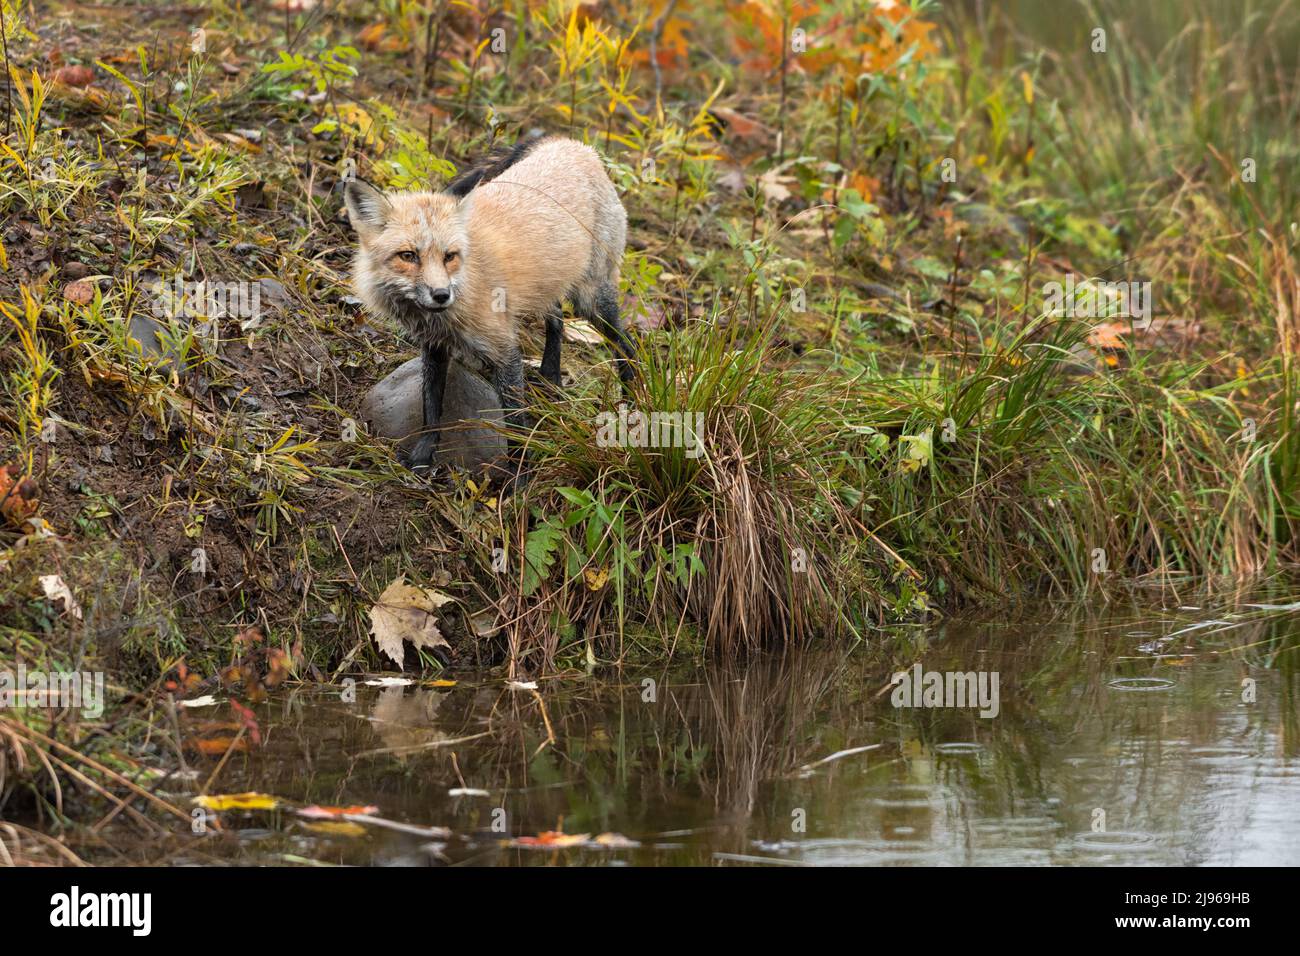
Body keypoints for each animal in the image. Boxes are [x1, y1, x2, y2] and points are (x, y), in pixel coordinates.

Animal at [344, 133, 635, 472]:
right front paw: (422, 457)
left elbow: (515, 426)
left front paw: (519, 478)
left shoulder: (505, 351)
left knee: (626, 342)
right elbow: (431, 408)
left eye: (449, 256)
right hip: (550, 288)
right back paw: (551, 376)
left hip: (591, 299)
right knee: (557, 318)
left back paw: (632, 399)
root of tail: (573, 144)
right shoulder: (435, 346)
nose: (441, 295)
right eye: (408, 256)